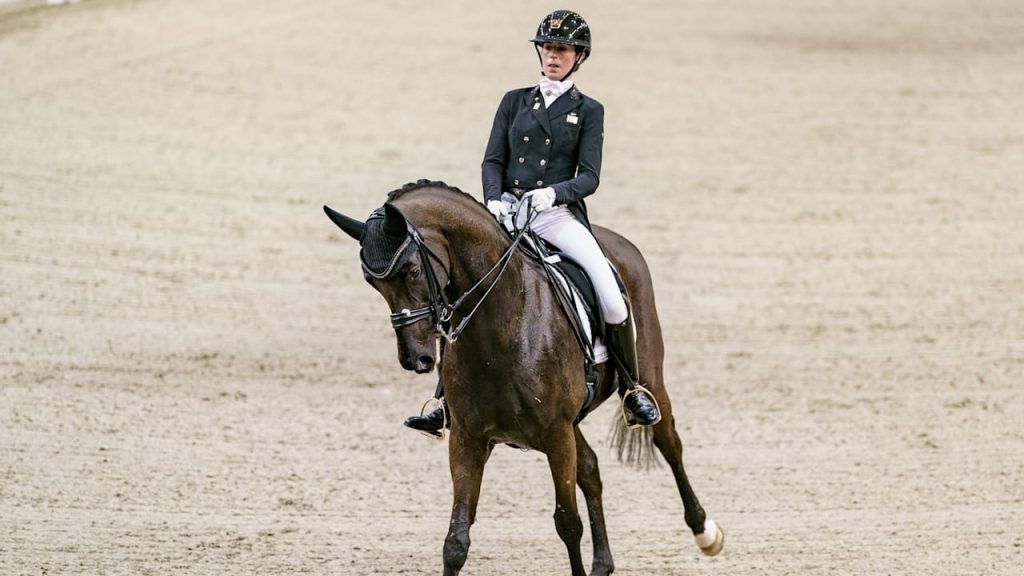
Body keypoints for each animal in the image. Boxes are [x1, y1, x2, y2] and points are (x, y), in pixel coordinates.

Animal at [323, 180, 724, 573]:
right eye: (372, 283)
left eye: (411, 270)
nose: (415, 358)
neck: (501, 324)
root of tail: (619, 242)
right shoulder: (468, 438)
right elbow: (456, 540)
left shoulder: (556, 434)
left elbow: (568, 524)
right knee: (591, 468)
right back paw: (603, 563)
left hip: (648, 378)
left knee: (668, 442)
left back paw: (705, 532)